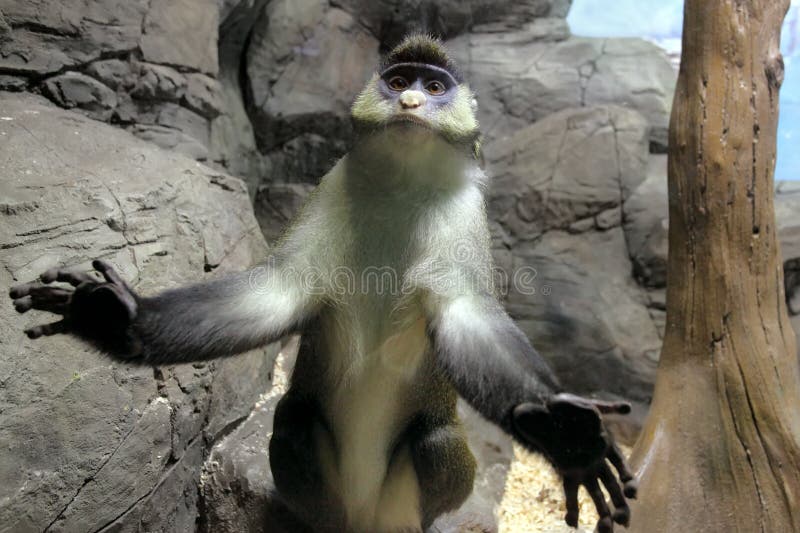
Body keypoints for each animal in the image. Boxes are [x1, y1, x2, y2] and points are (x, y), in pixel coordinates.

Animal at [9, 35, 637, 533]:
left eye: (435, 86)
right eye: (398, 81)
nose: (411, 101)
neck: (400, 187)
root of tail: (364, 517)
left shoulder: (464, 218)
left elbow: (463, 315)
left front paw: (565, 434)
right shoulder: (330, 188)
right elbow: (276, 293)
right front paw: (117, 318)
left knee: (434, 440)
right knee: (290, 419)